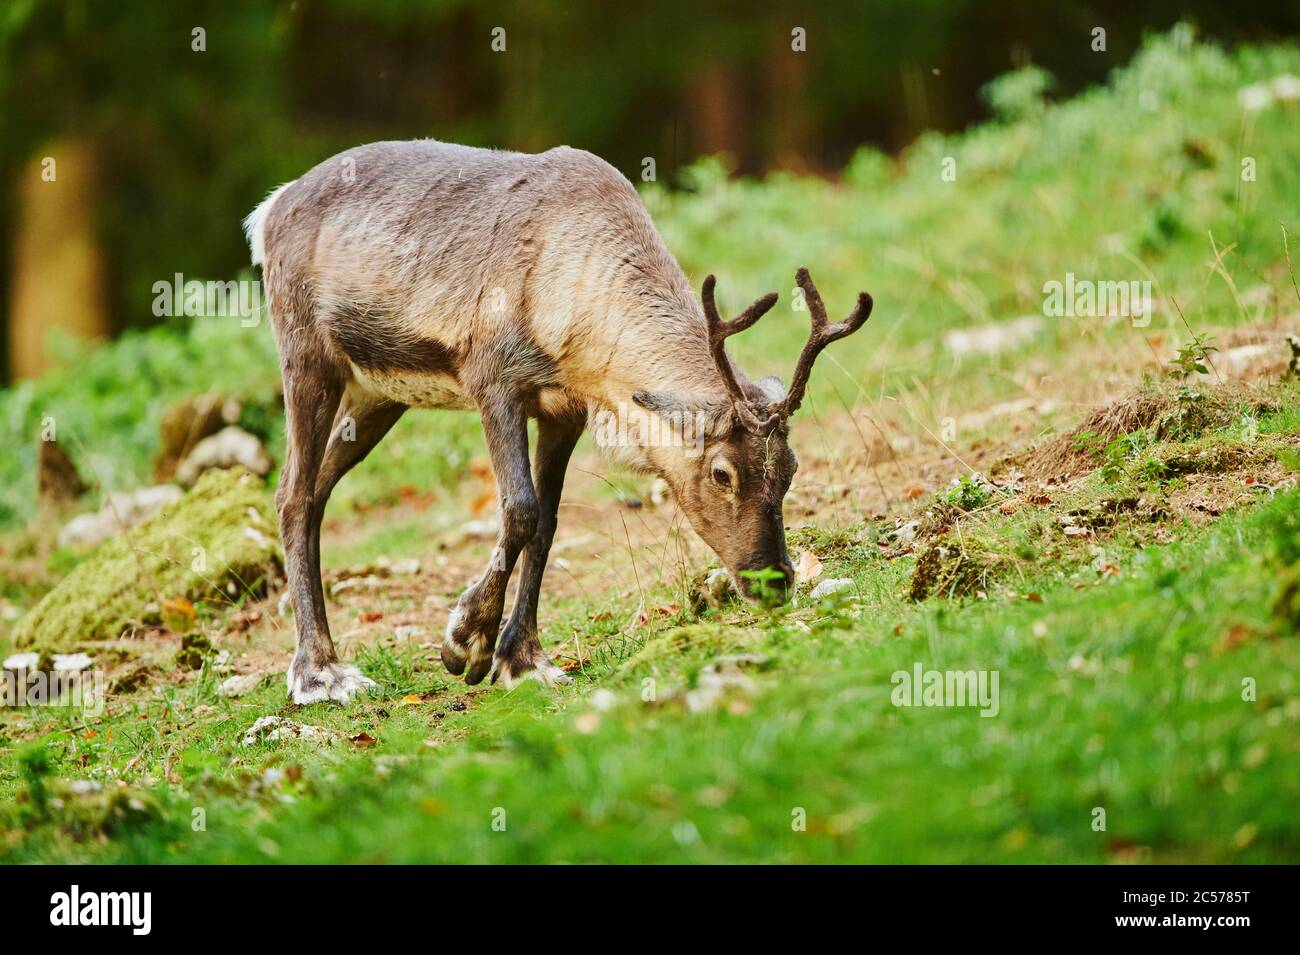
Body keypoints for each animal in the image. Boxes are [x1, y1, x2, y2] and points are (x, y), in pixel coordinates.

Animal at [244, 140, 872, 703]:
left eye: (790, 468)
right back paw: (319, 673)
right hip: (307, 356)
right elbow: (520, 509)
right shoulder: (492, 378)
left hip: (377, 395)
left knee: (313, 492)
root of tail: (268, 210)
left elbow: (546, 524)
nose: (775, 582)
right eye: (722, 473)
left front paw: (523, 660)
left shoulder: (565, 408)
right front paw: (465, 642)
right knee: (293, 493)